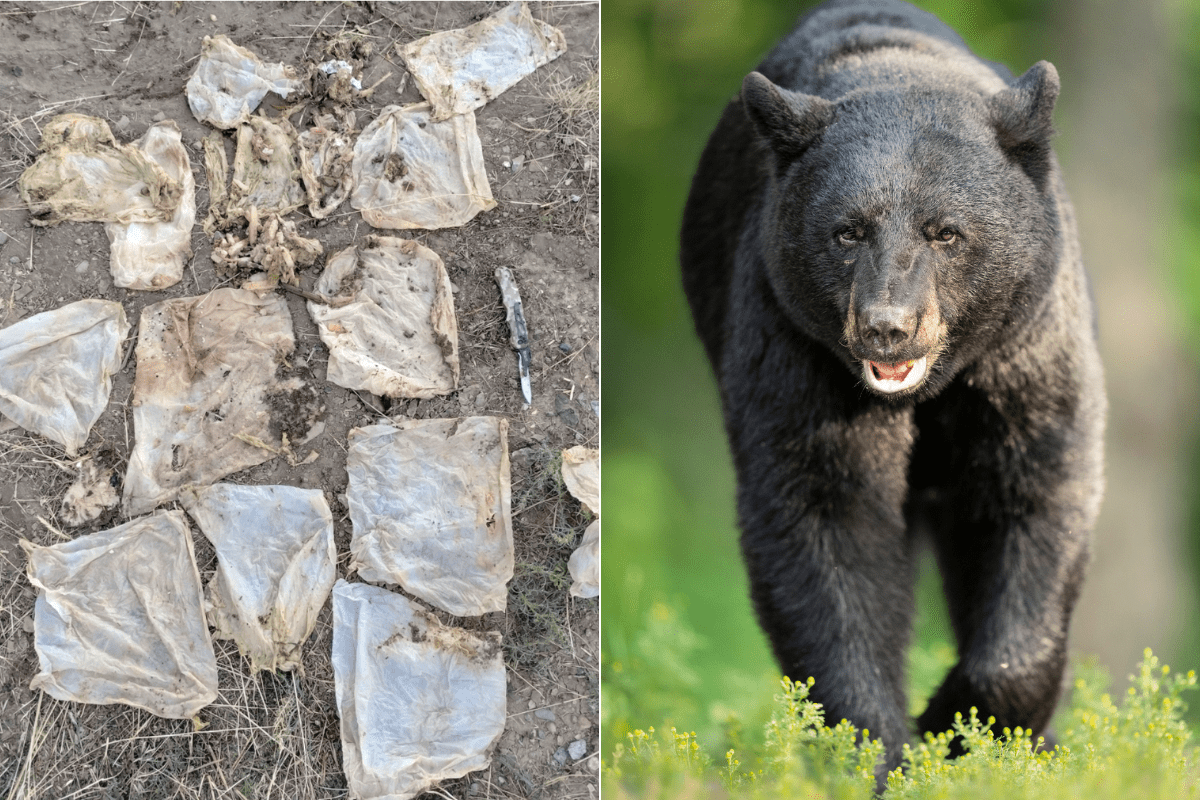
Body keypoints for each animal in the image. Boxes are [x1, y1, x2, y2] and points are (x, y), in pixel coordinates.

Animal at [679, 0, 1106, 784]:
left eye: (947, 232)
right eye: (847, 231)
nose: (886, 326)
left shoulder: (1028, 349)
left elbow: (1037, 497)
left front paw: (963, 727)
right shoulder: (795, 347)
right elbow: (826, 517)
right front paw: (875, 751)